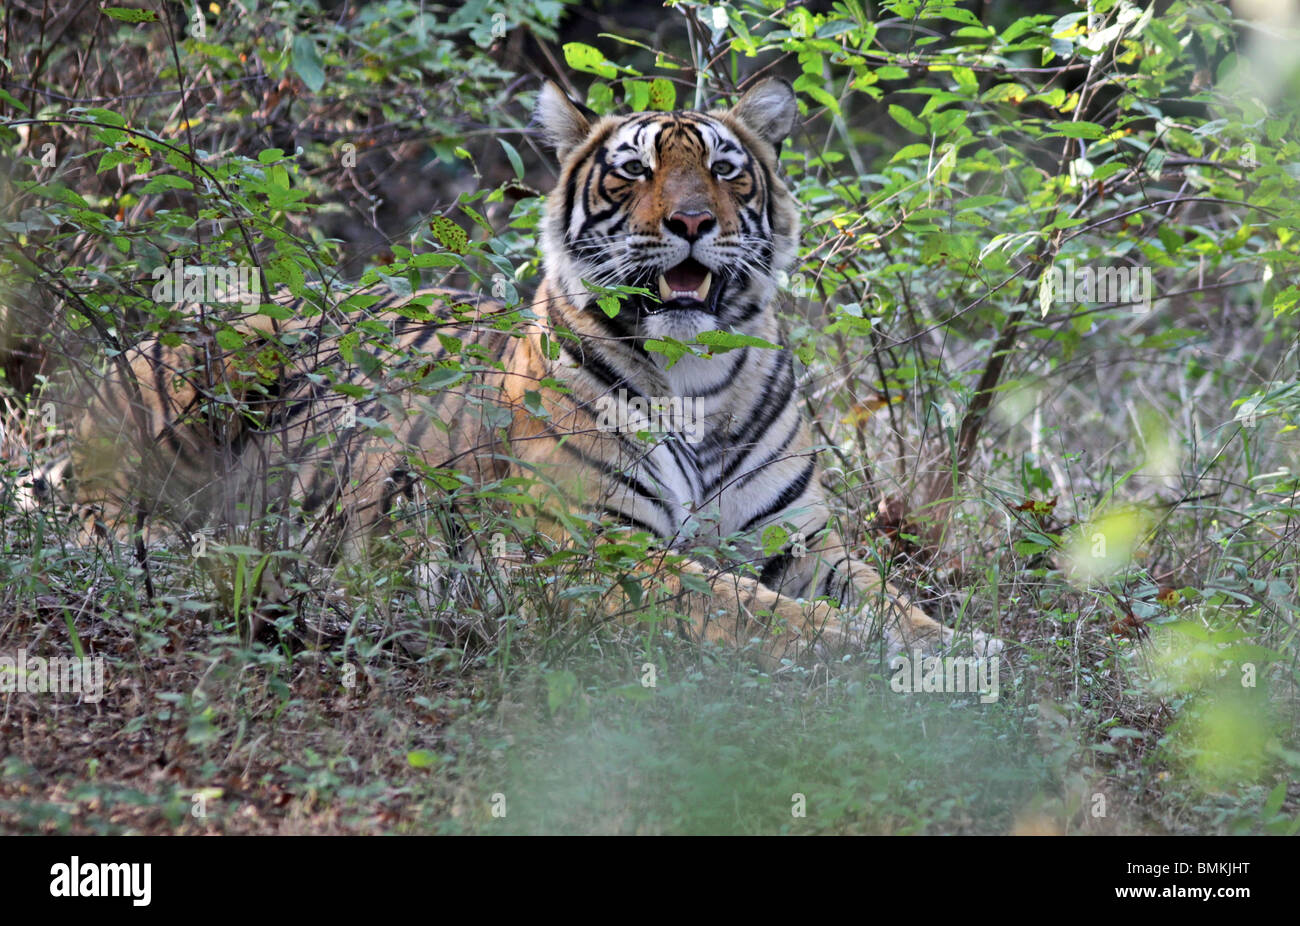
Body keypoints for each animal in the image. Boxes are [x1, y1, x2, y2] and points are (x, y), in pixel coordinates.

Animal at [61, 77, 1002, 664]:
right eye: (635, 171)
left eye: (725, 171)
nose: (693, 222)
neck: (696, 382)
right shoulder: (596, 550)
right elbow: (746, 605)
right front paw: (853, 651)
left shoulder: (799, 541)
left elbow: (888, 596)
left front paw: (963, 645)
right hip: (219, 355)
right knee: (95, 520)